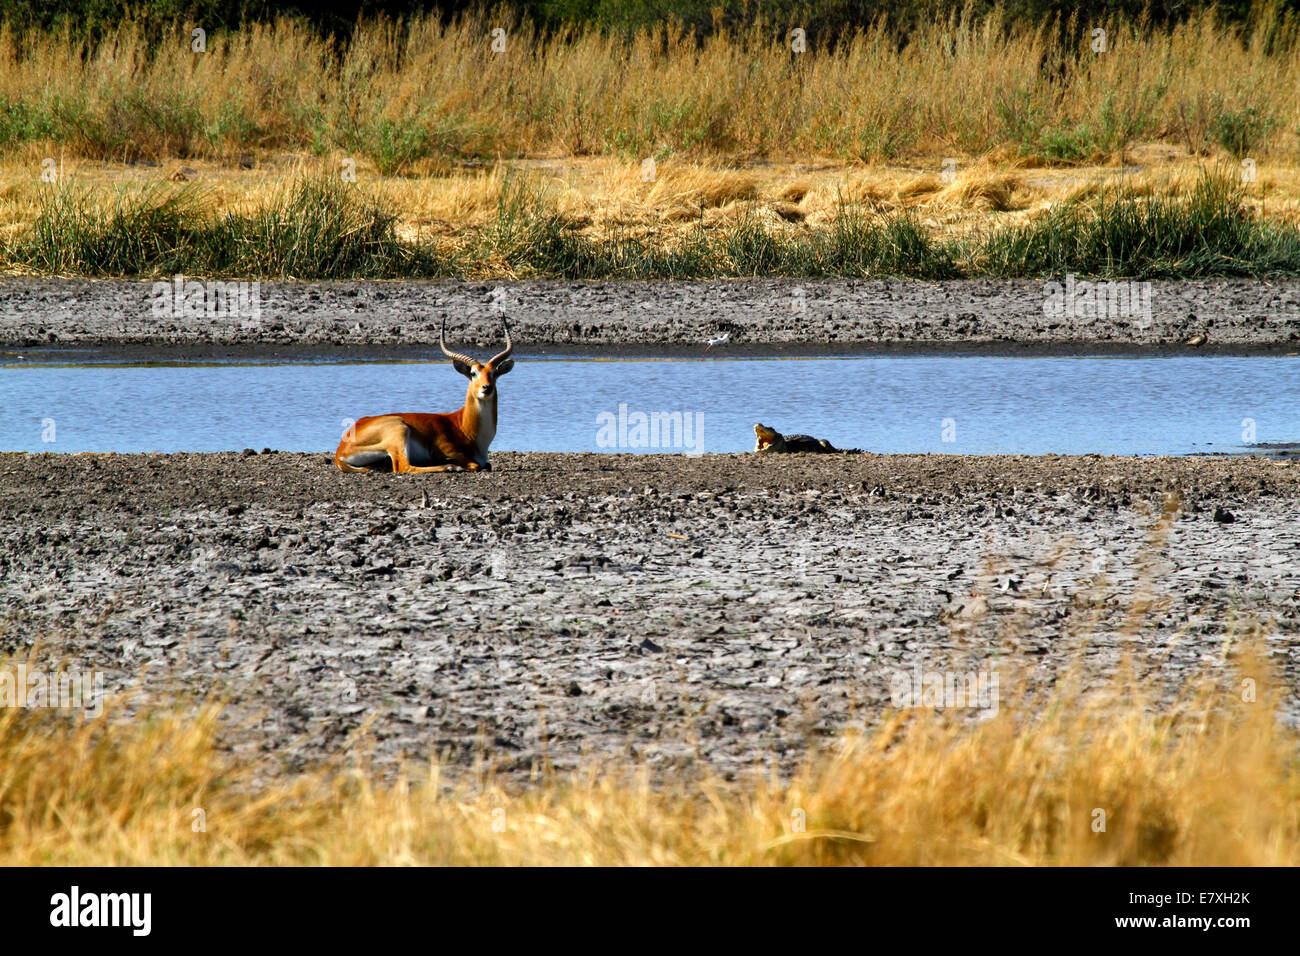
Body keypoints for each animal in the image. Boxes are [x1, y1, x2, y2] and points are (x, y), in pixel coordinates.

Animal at [334, 320, 514, 473]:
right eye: (473, 373)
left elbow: (487, 464)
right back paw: (450, 467)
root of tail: (341, 450)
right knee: (403, 467)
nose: (486, 388)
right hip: (399, 431)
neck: (464, 427)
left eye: (494, 373)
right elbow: (476, 464)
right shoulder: (447, 449)